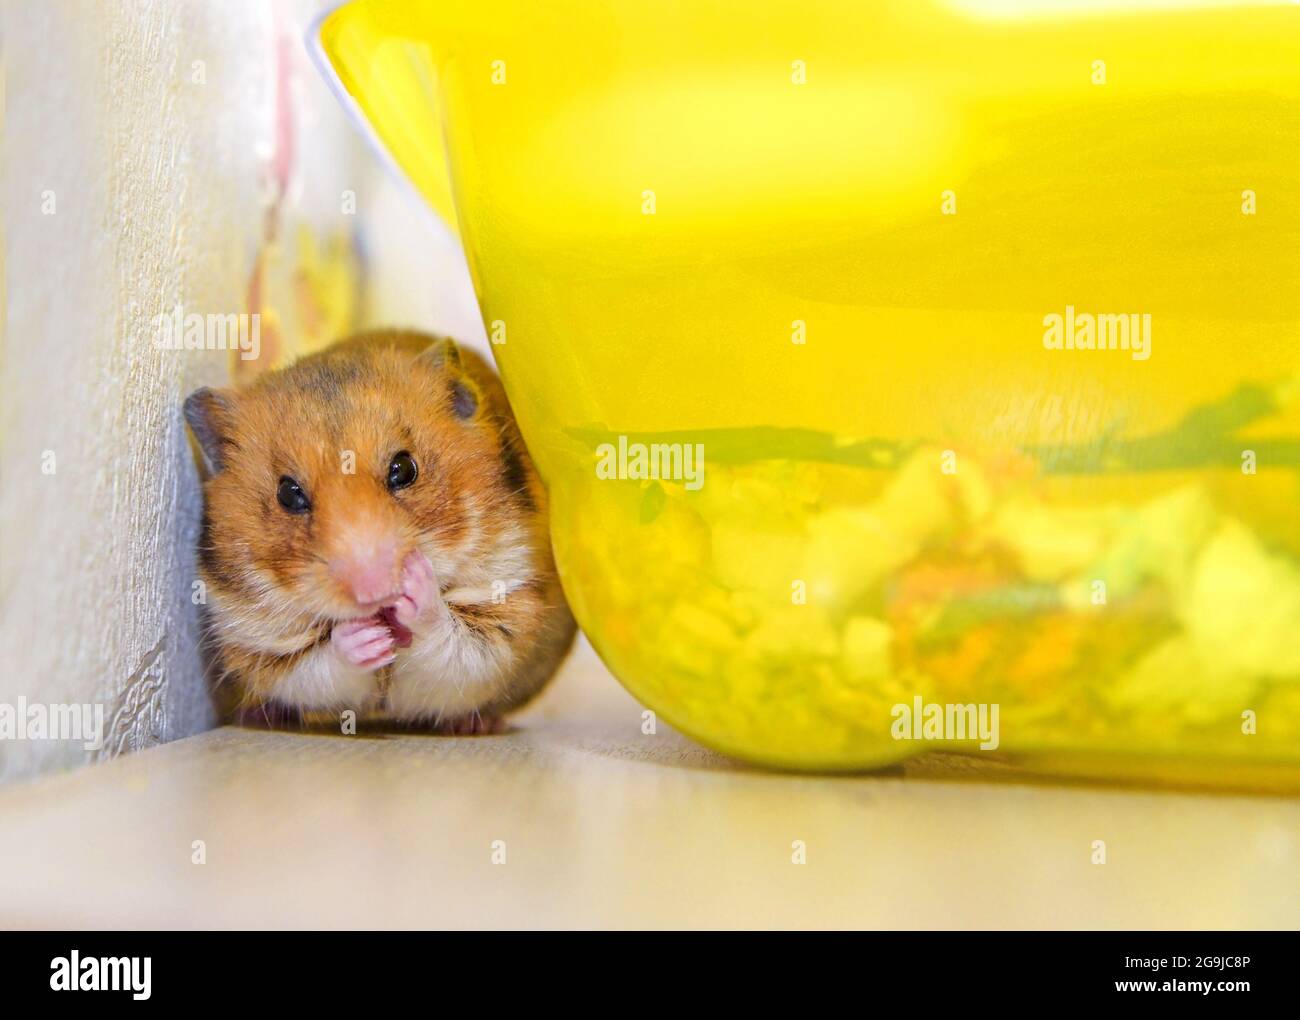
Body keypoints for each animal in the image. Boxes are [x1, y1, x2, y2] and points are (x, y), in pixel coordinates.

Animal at [183, 329, 577, 733]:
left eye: (404, 469)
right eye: (288, 494)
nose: (375, 592)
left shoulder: (504, 612)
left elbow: (452, 641)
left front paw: (415, 584)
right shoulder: (258, 641)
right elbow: (317, 664)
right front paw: (365, 635)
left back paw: (478, 725)